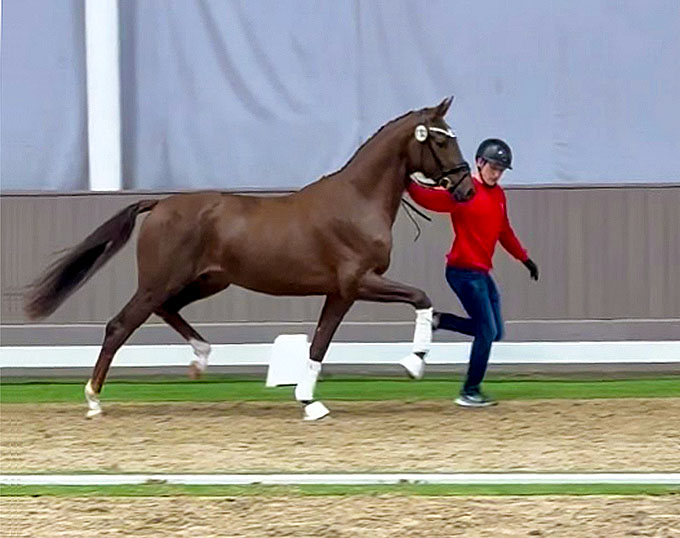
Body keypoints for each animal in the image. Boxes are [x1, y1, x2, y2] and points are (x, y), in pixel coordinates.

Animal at [25, 96, 474, 420]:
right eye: (440, 140)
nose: (466, 189)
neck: (357, 200)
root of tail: (160, 204)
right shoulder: (358, 282)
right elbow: (421, 298)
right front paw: (414, 363)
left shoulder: (340, 292)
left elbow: (320, 343)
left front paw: (310, 402)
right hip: (160, 282)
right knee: (120, 326)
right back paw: (94, 400)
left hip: (204, 281)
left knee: (167, 310)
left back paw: (201, 359)